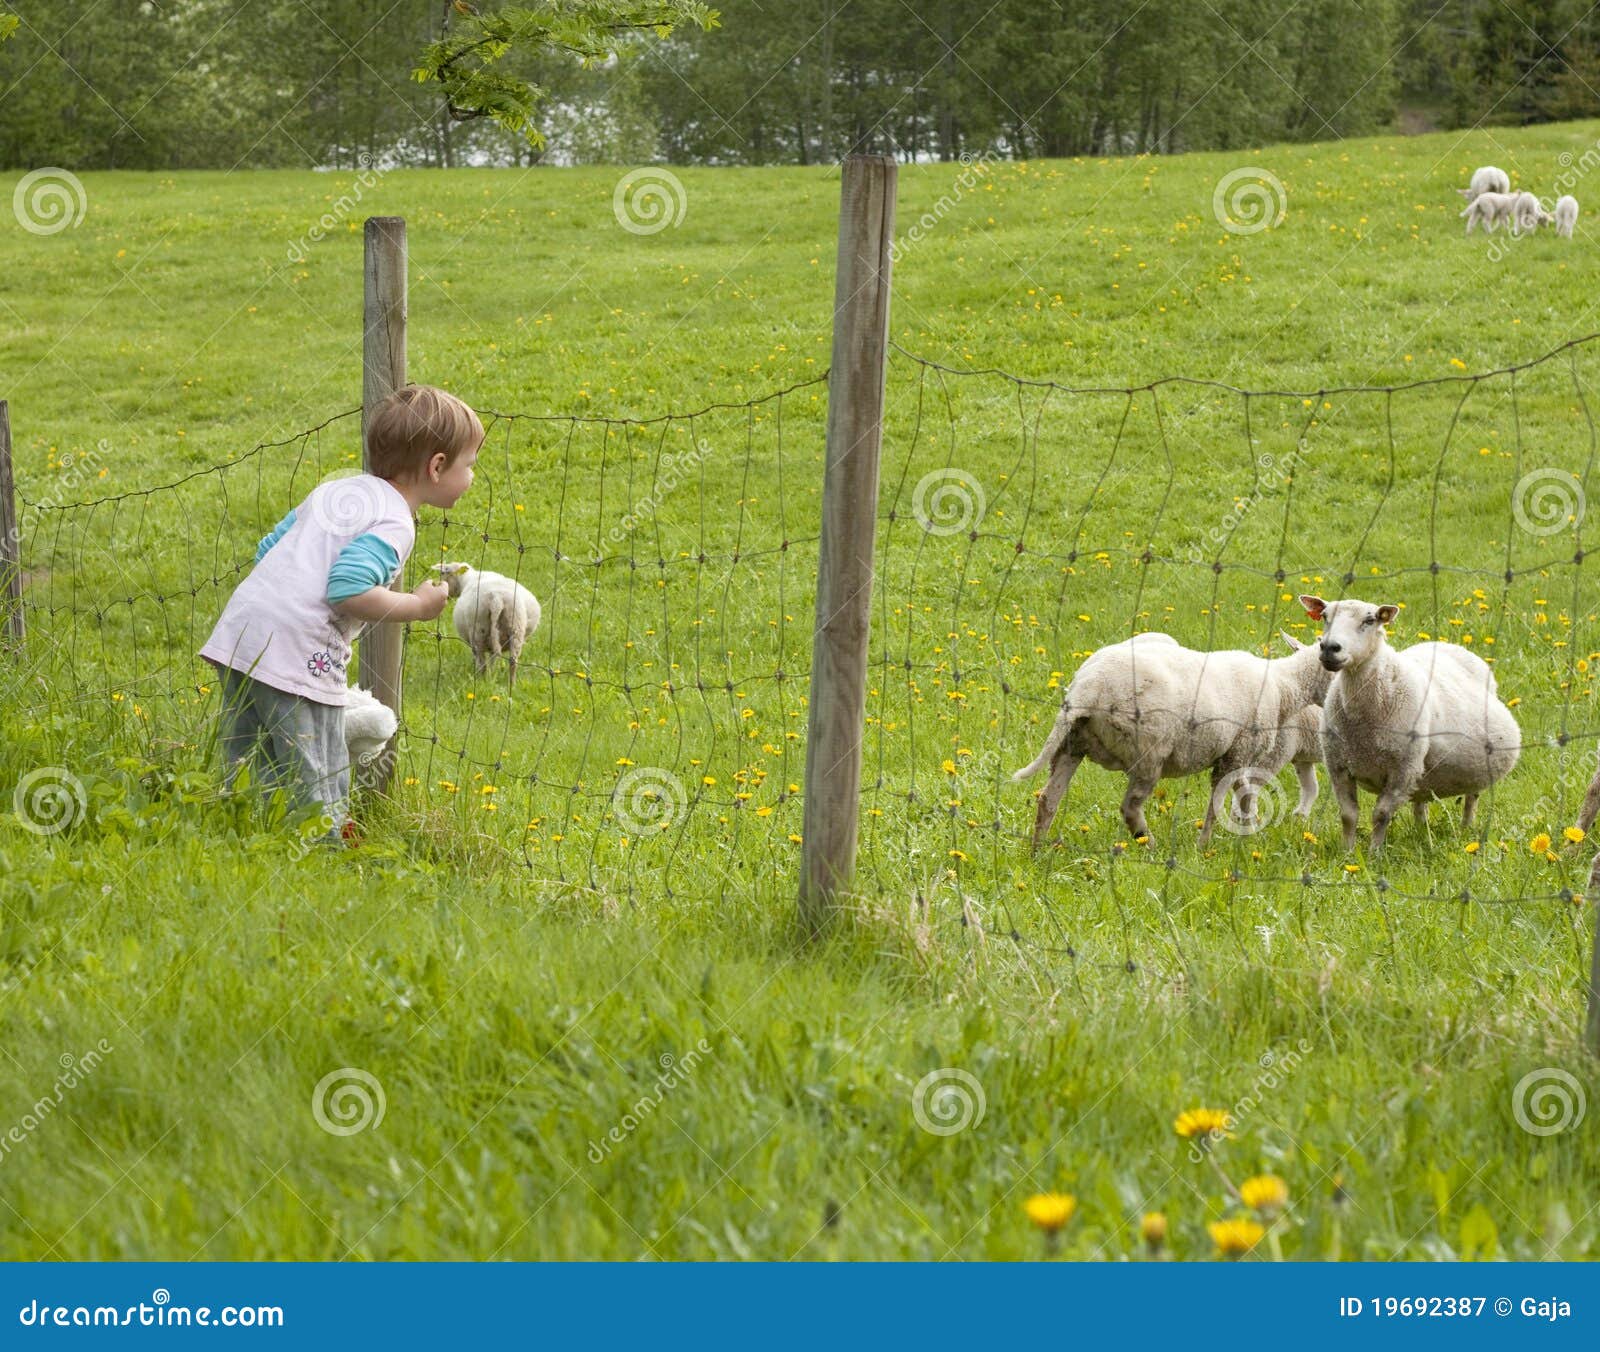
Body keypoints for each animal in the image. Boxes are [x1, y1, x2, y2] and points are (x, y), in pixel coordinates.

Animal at [1012, 630, 1332, 848]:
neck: (1284, 685)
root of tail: (1087, 688)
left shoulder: (1239, 757)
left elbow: (1244, 799)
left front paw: (1245, 836)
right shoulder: (1237, 753)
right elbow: (1223, 802)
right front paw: (1205, 845)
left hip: (1073, 743)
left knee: (1048, 799)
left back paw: (1037, 850)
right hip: (1148, 751)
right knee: (1130, 808)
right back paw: (1149, 844)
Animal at [1303, 596, 1520, 853]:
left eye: (1370, 620)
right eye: (1324, 616)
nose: (1329, 647)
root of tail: (1446, 644)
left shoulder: (1402, 770)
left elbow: (1381, 815)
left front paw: (1374, 854)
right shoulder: (1338, 766)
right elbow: (1348, 815)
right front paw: (1346, 853)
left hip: (1474, 763)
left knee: (1471, 797)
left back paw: (1465, 831)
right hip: (1422, 771)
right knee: (1421, 800)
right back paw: (1421, 831)